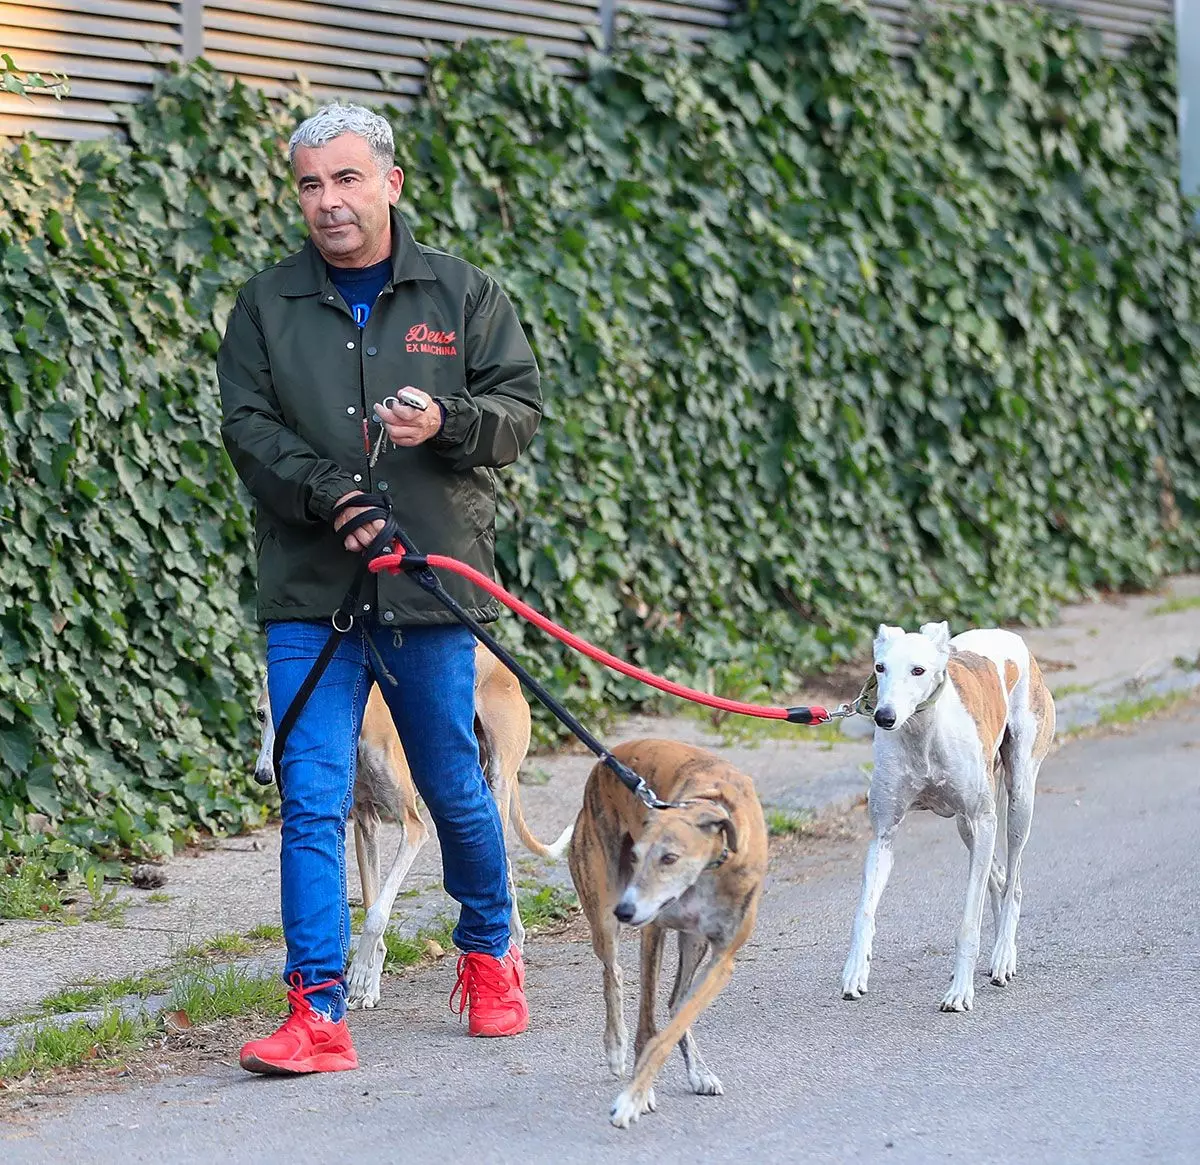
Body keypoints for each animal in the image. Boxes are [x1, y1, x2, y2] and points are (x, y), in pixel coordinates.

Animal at [254, 647, 571, 1012]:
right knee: (499, 861)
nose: (263, 774)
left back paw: (511, 946)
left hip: (493, 781)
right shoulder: (365, 823)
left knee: (500, 860)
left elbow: (377, 912)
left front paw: (359, 972)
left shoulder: (413, 827)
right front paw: (368, 985)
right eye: (261, 715)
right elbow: (371, 901)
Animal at [566, 739, 763, 1127]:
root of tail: (605, 759)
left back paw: (699, 1071)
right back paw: (615, 1045)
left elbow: (673, 1024)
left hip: (694, 941)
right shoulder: (653, 928)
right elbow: (648, 1025)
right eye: (638, 855)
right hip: (601, 904)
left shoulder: (722, 961)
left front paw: (636, 1094)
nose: (626, 911)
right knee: (612, 970)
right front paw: (636, 1094)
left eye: (669, 858)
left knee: (676, 1001)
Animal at [840, 623, 1056, 1017]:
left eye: (918, 670)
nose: (884, 717)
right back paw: (1000, 955)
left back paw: (1004, 956)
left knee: (1013, 881)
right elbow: (864, 911)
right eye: (880, 667)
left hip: (1017, 800)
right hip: (967, 826)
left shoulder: (985, 819)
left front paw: (959, 993)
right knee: (998, 877)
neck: (922, 733)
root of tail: (1008, 635)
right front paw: (855, 972)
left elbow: (968, 923)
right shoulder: (884, 835)